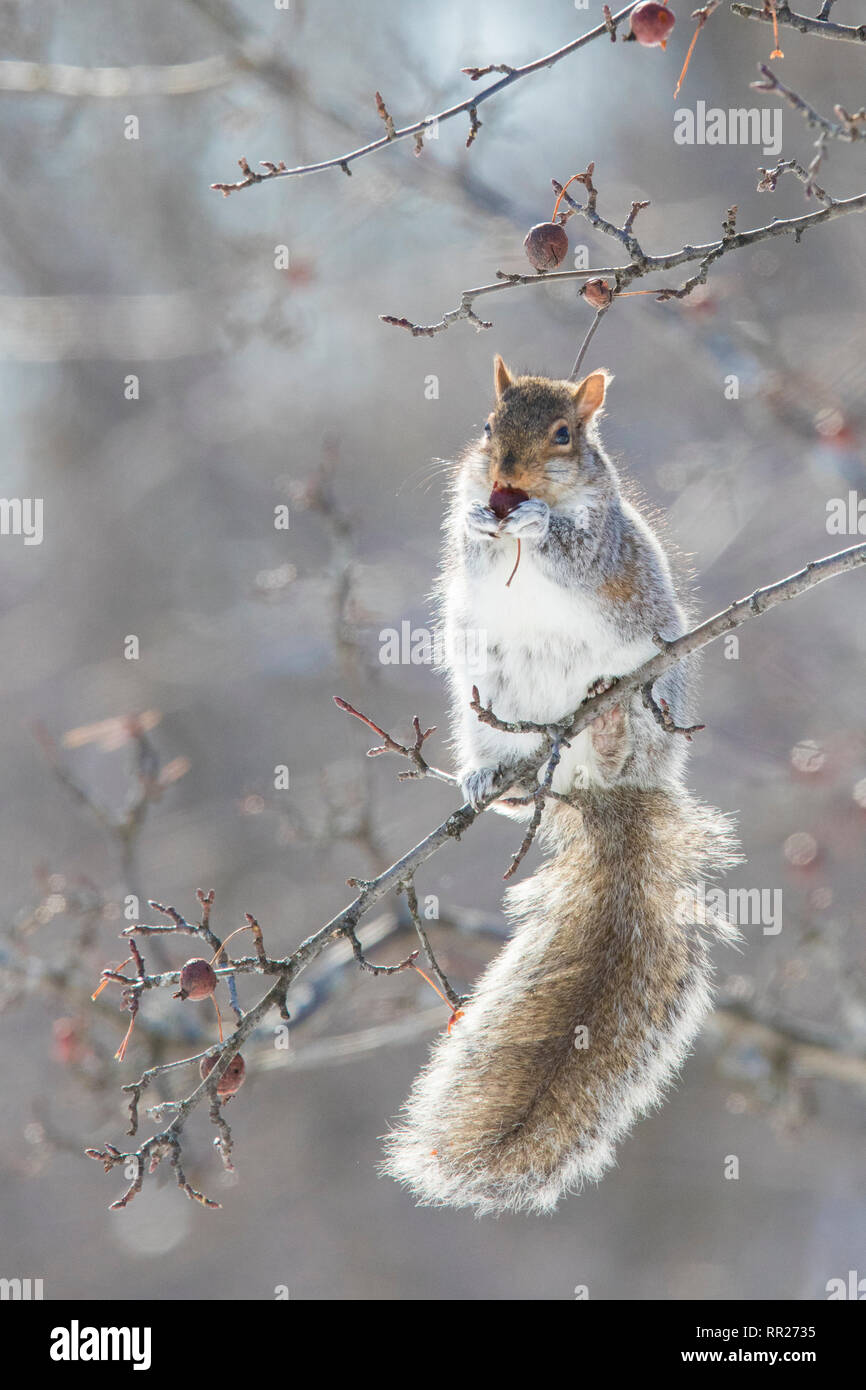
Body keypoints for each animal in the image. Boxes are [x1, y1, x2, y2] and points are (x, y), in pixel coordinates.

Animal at [381, 356, 740, 1216]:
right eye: (487, 425)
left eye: (564, 435)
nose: (505, 478)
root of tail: (587, 788)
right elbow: (467, 540)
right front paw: (479, 519)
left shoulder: (603, 544)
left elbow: (576, 548)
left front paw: (539, 527)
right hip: (482, 702)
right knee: (509, 772)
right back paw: (493, 779)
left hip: (650, 690)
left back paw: (608, 730)